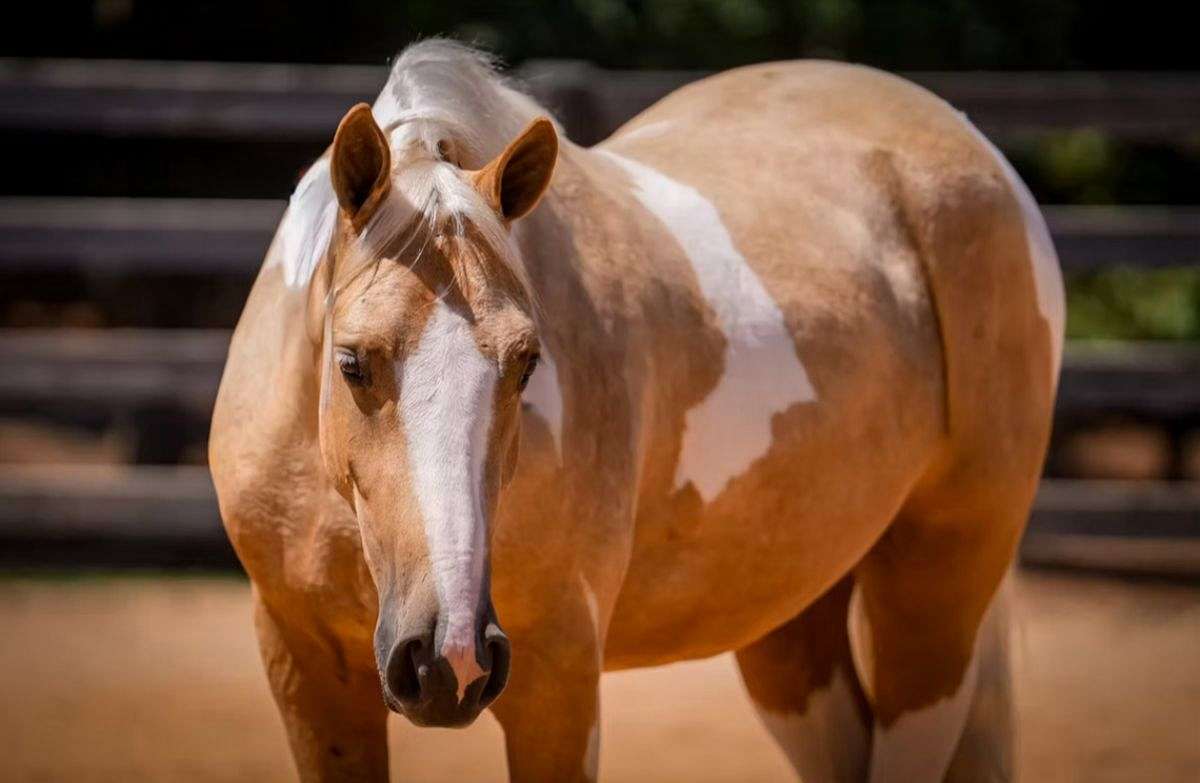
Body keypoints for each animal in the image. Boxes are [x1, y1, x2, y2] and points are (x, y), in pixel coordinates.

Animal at [210, 40, 1062, 782]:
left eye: (527, 363)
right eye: (352, 362)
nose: (445, 658)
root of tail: (963, 140)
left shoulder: (557, 678)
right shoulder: (306, 667)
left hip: (937, 600)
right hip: (789, 628)